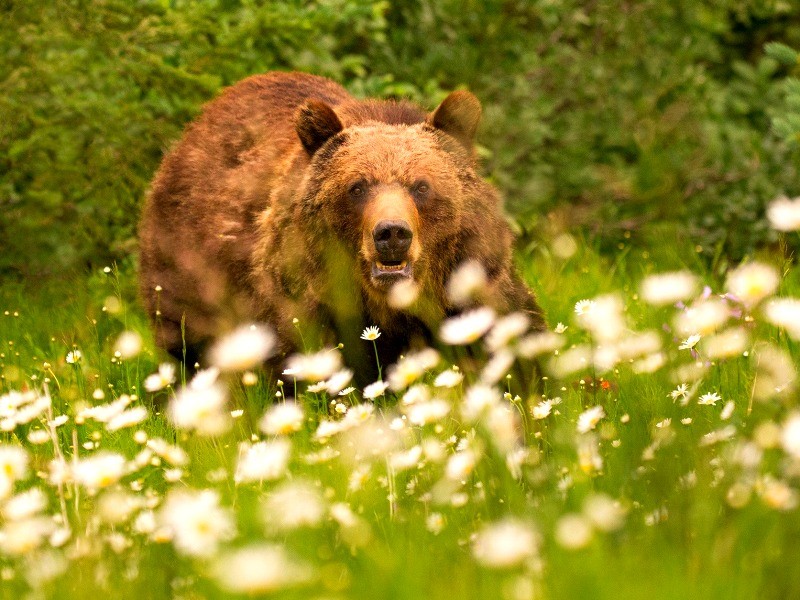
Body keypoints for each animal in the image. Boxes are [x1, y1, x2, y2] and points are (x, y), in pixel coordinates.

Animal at [138, 71, 545, 375]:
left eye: (422, 186)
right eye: (357, 186)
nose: (392, 233)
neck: (389, 308)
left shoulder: (473, 281)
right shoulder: (303, 299)